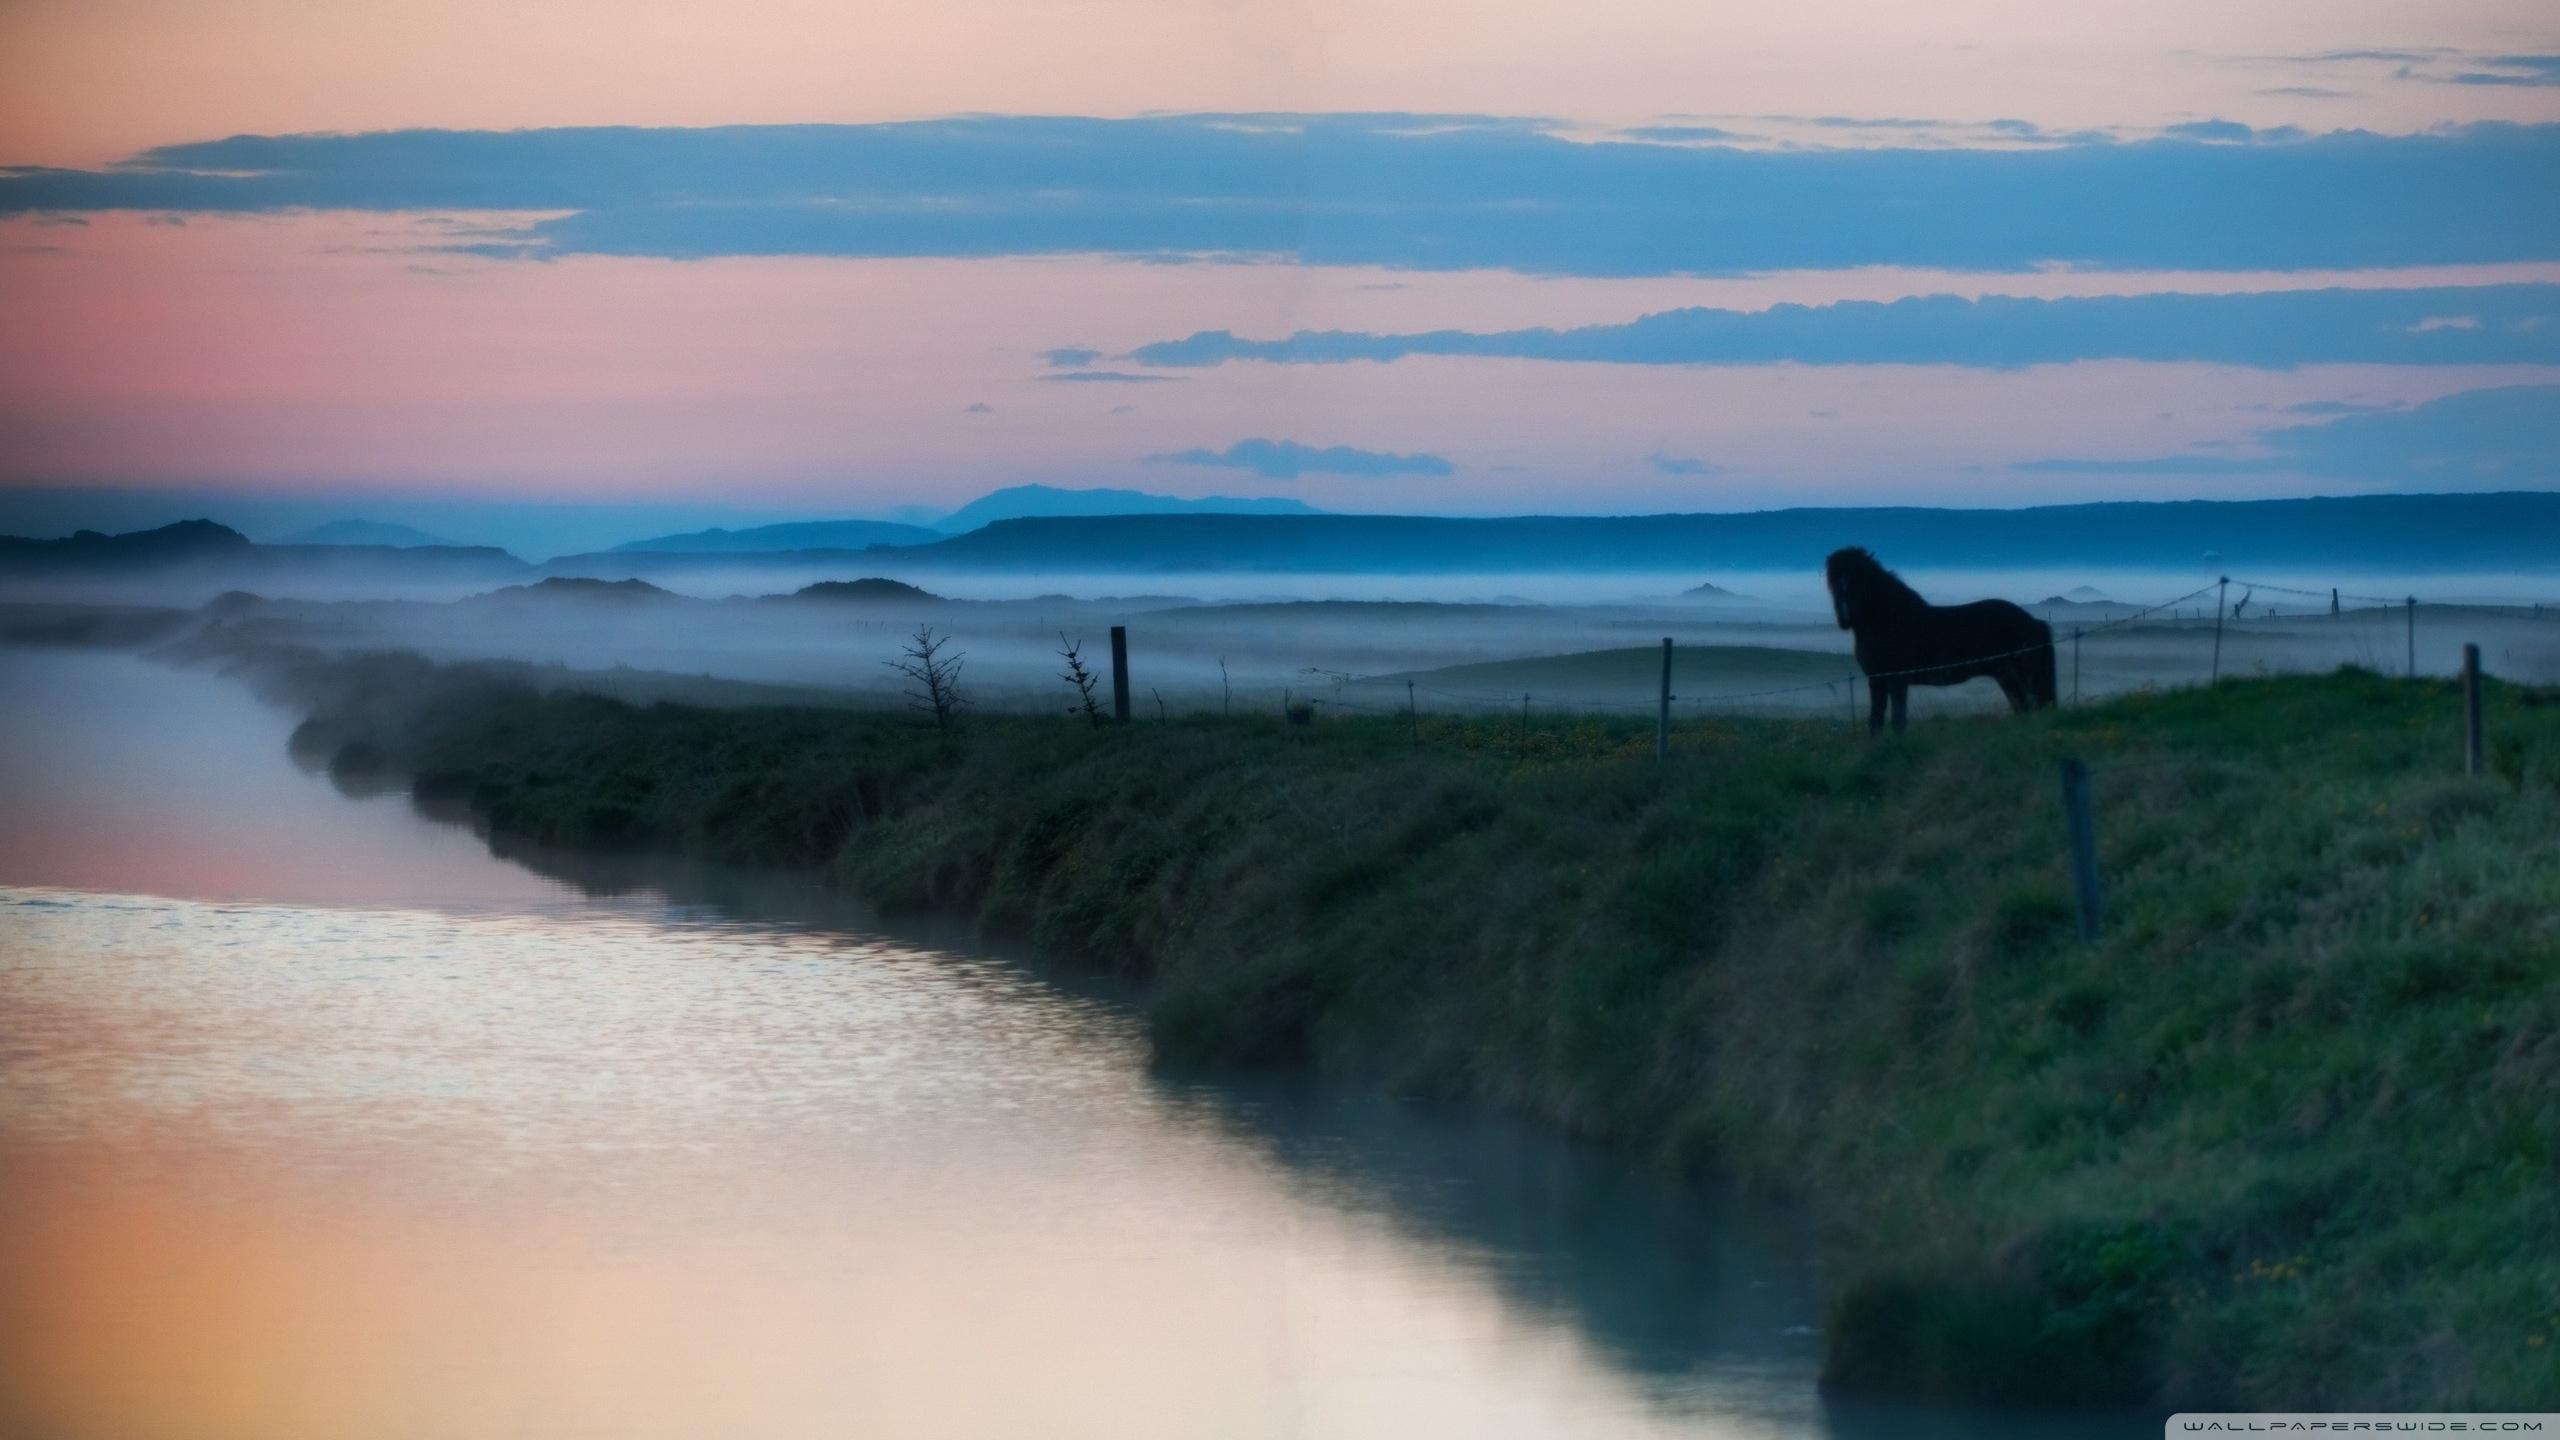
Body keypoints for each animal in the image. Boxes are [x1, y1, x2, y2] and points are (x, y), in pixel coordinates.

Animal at [1824, 546, 2056, 735]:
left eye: (1860, 580)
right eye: (1832, 583)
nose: (1845, 617)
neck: (1889, 622)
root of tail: (2034, 622)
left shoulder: (1897, 680)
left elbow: (1898, 721)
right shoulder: (1877, 680)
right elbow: (1876, 721)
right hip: (2006, 677)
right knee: (2025, 709)